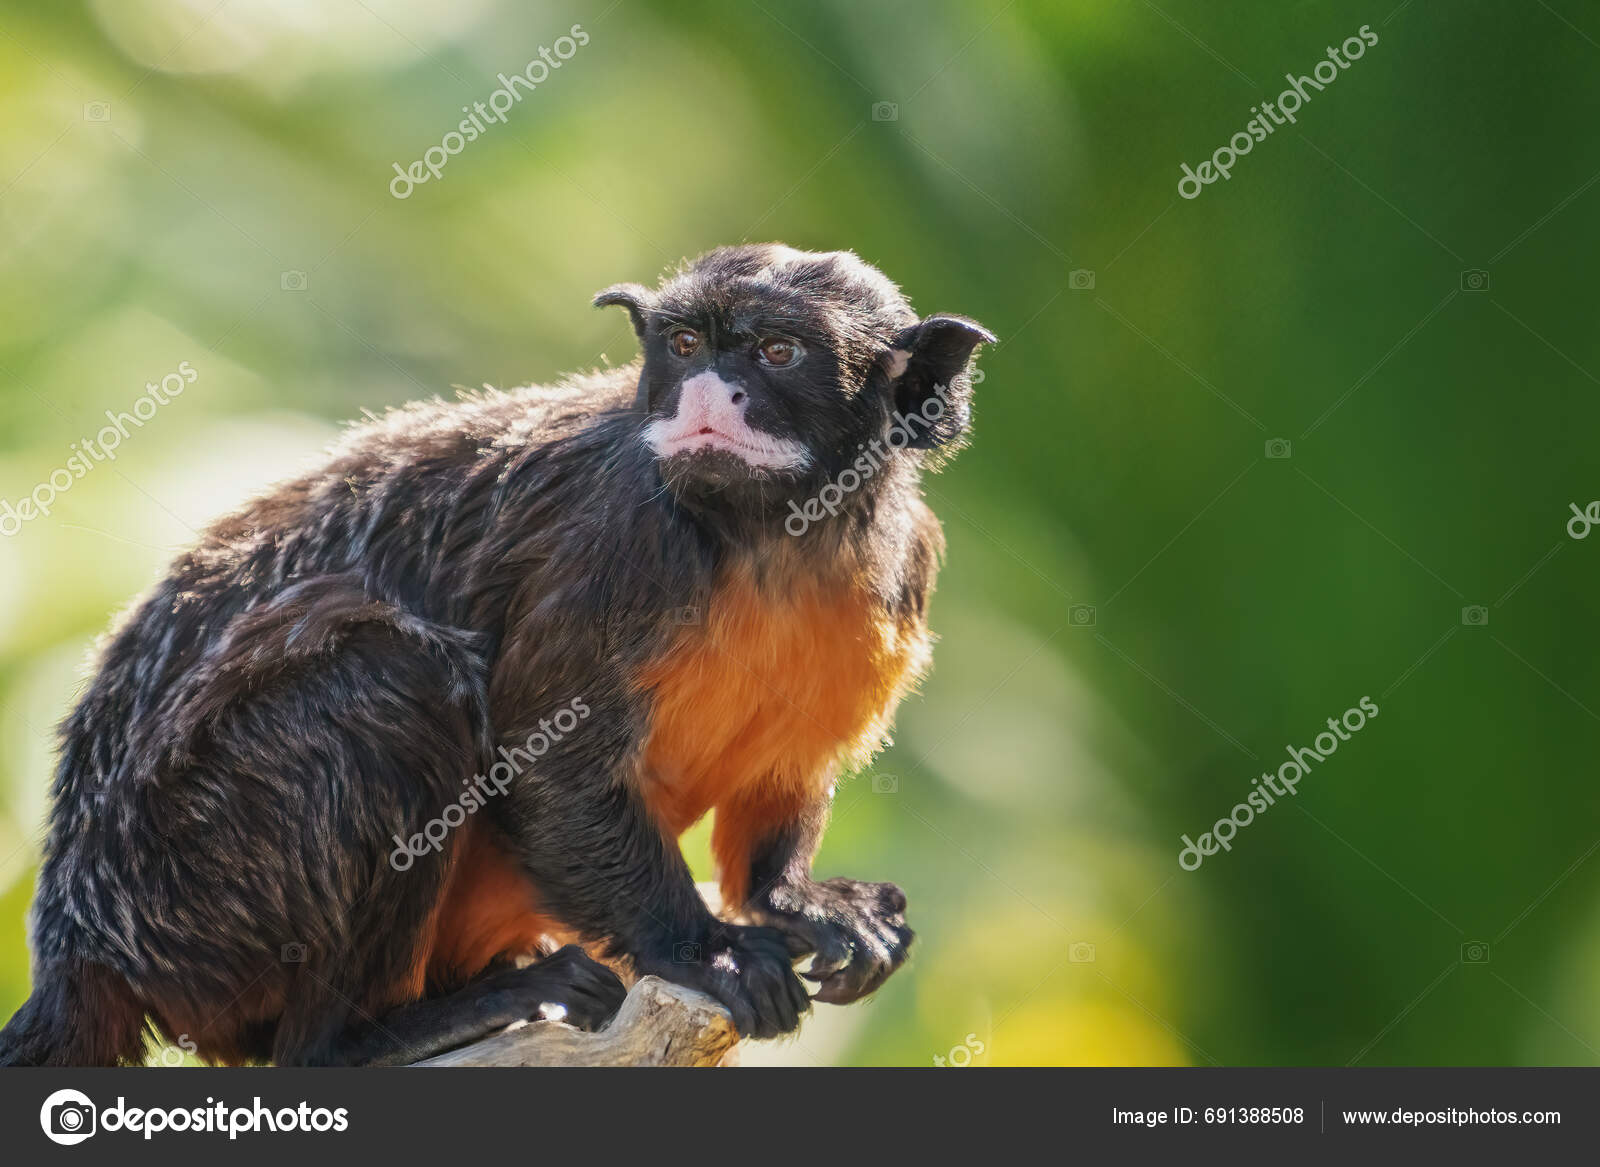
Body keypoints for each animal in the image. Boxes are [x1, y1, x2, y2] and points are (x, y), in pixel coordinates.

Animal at [0, 244, 992, 1066]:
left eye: (777, 353)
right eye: (684, 345)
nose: (711, 392)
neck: (767, 533)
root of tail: (77, 939)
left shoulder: (900, 570)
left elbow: (790, 765)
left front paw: (787, 898)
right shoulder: (612, 547)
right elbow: (547, 764)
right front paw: (701, 948)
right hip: (189, 895)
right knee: (388, 679)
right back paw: (364, 1037)